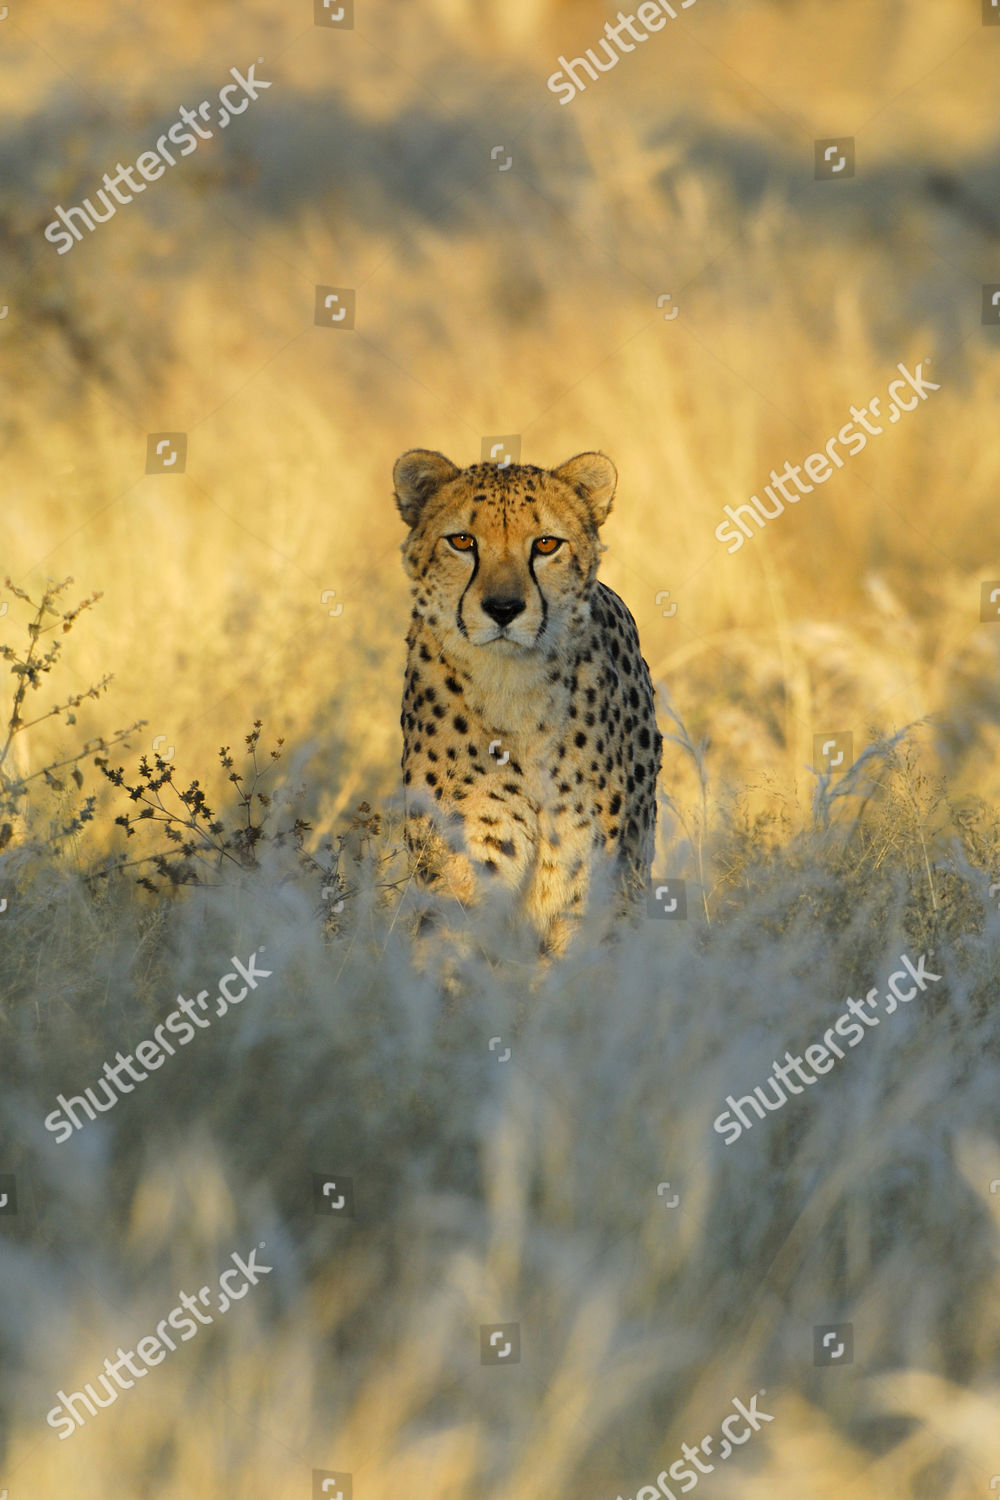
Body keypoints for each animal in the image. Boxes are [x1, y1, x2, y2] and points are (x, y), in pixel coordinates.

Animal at [393, 448, 663, 957]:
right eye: (462, 541)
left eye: (545, 544)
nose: (503, 608)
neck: (511, 686)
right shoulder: (466, 871)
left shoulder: (580, 881)